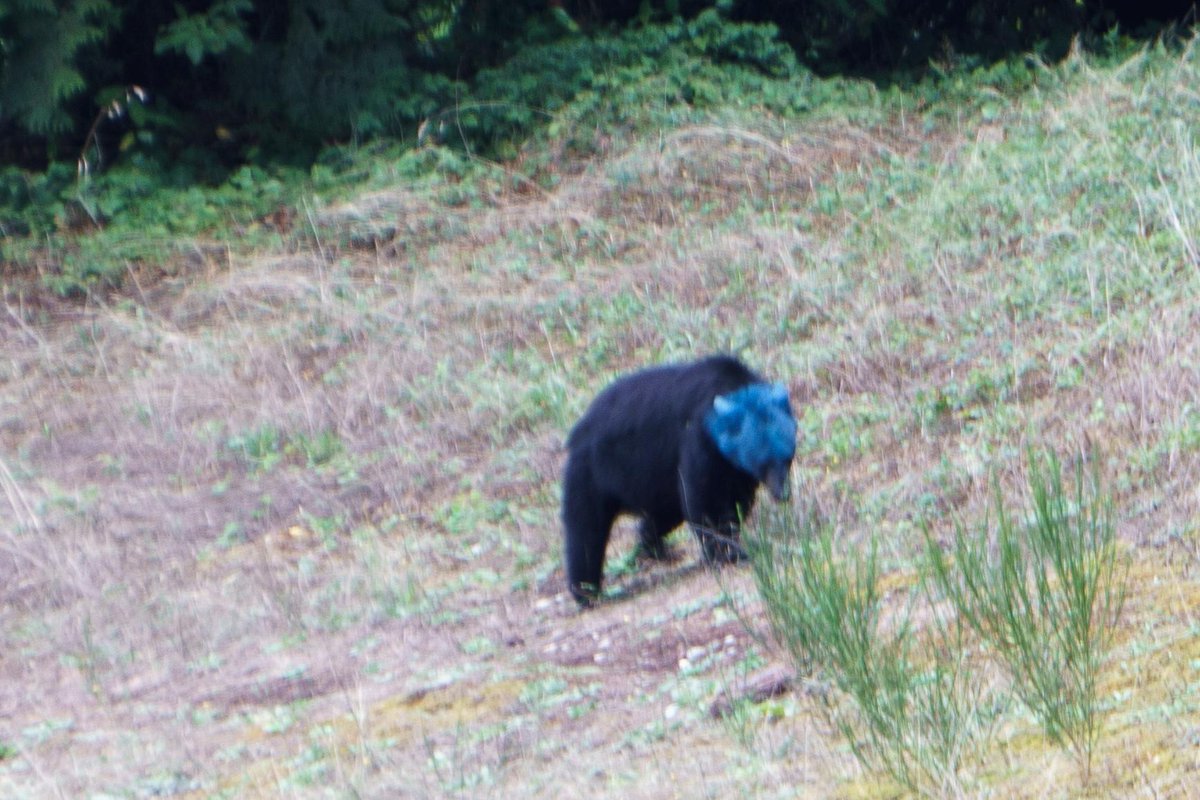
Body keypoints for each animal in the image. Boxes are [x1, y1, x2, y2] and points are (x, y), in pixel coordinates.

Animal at [561, 354, 797, 606]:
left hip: (657, 481)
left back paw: (655, 548)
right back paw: (586, 591)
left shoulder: (733, 467)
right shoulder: (696, 437)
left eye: (788, 458)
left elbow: (737, 501)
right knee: (585, 532)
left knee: (663, 514)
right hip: (591, 472)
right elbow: (704, 501)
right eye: (764, 463)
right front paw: (728, 553)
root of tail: (578, 429)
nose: (782, 493)